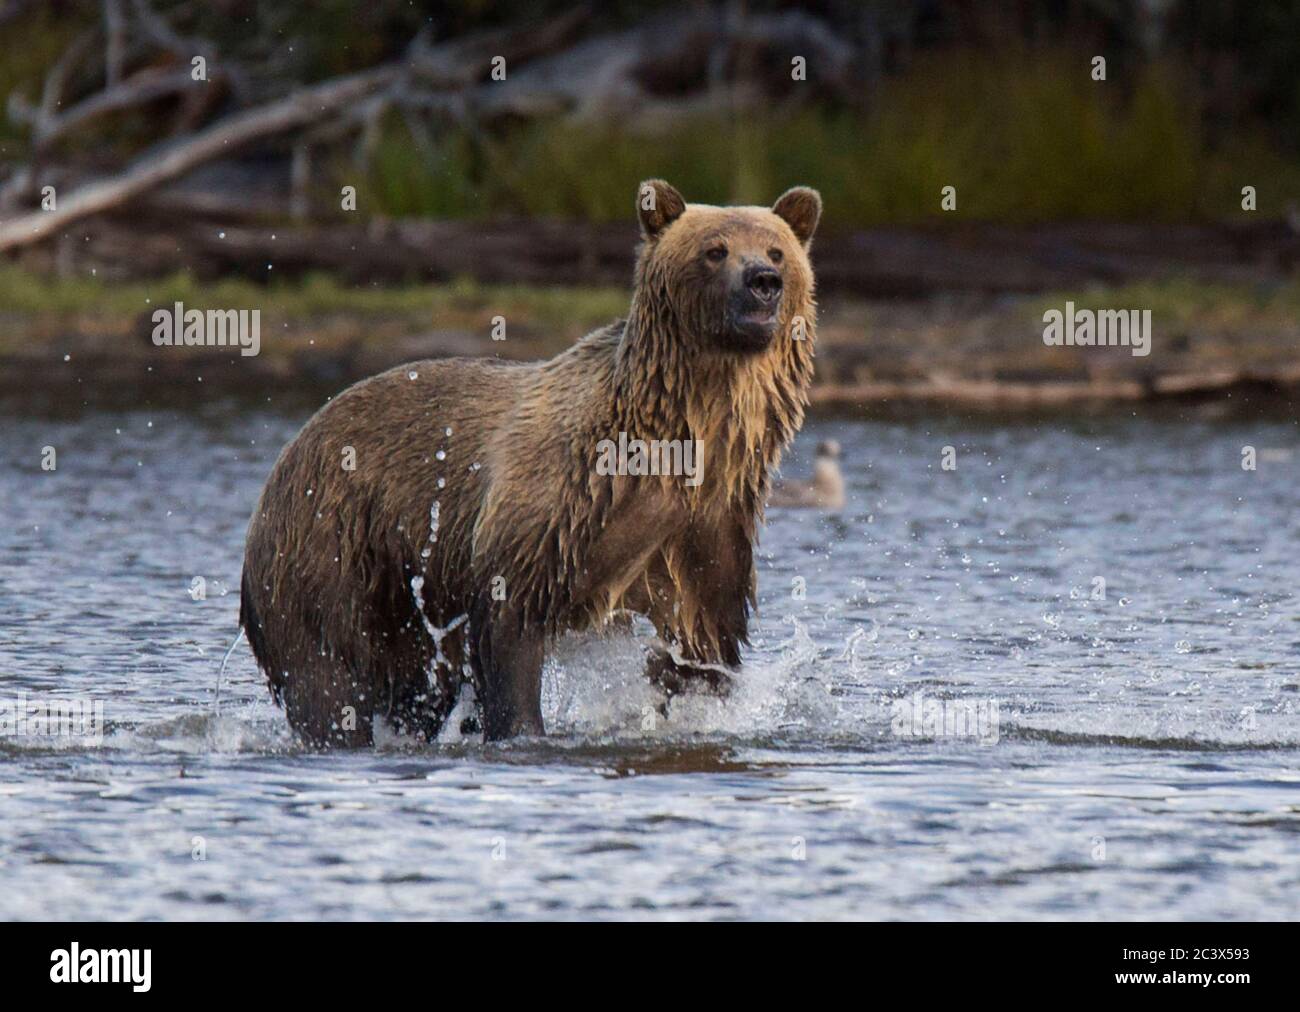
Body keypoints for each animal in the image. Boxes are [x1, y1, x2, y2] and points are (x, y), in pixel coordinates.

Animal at [239, 179, 821, 746]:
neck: (676, 440)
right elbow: (510, 630)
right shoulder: (551, 510)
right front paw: (522, 728)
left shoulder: (706, 532)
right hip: (333, 548)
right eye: (715, 250)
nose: (763, 281)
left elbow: (701, 647)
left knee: (414, 688)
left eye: (776, 250)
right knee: (328, 675)